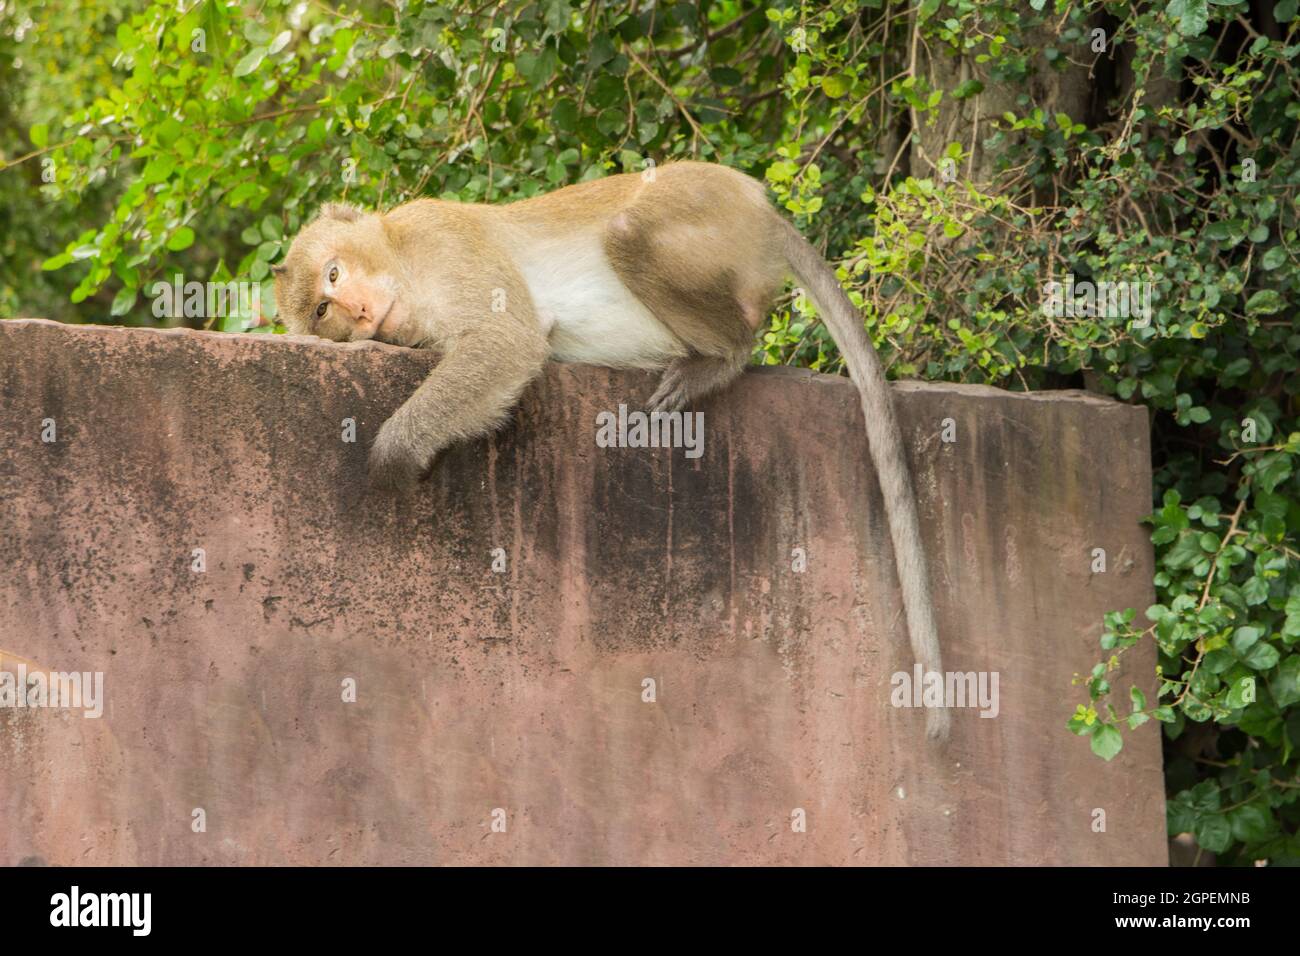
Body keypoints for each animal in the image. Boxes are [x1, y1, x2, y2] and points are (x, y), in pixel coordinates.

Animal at [274, 161, 948, 741]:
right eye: (323, 309)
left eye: (332, 274)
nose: (359, 310)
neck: (401, 258)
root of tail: (761, 208)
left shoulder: (439, 236)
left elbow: (505, 339)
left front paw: (395, 455)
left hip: (715, 218)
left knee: (630, 232)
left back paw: (724, 356)